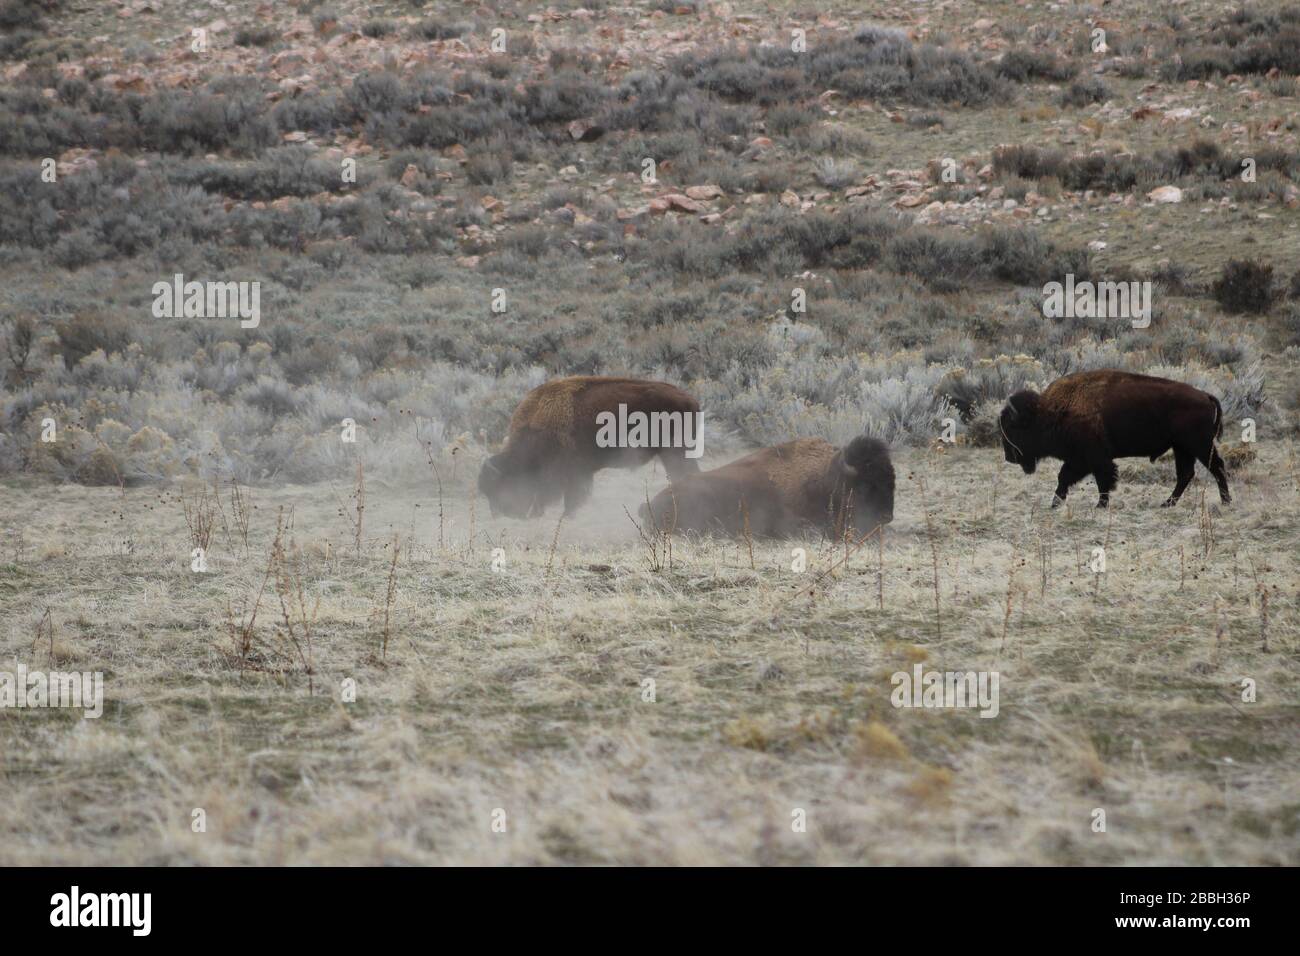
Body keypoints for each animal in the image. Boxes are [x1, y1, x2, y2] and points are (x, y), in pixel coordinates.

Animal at [479, 376, 701, 518]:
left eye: (501, 486)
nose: (503, 514)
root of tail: (690, 400)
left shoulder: (567, 472)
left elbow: (566, 496)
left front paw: (564, 515)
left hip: (675, 452)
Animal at [999, 369, 1230, 508]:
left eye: (1012, 428)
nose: (1008, 457)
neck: (1048, 411)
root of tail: (1205, 395)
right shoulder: (1078, 459)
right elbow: (1064, 477)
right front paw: (1055, 503)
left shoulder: (1093, 458)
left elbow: (1101, 479)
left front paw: (1100, 505)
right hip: (1182, 448)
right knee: (1186, 474)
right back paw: (1168, 503)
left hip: (1199, 445)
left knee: (1216, 468)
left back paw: (1225, 501)